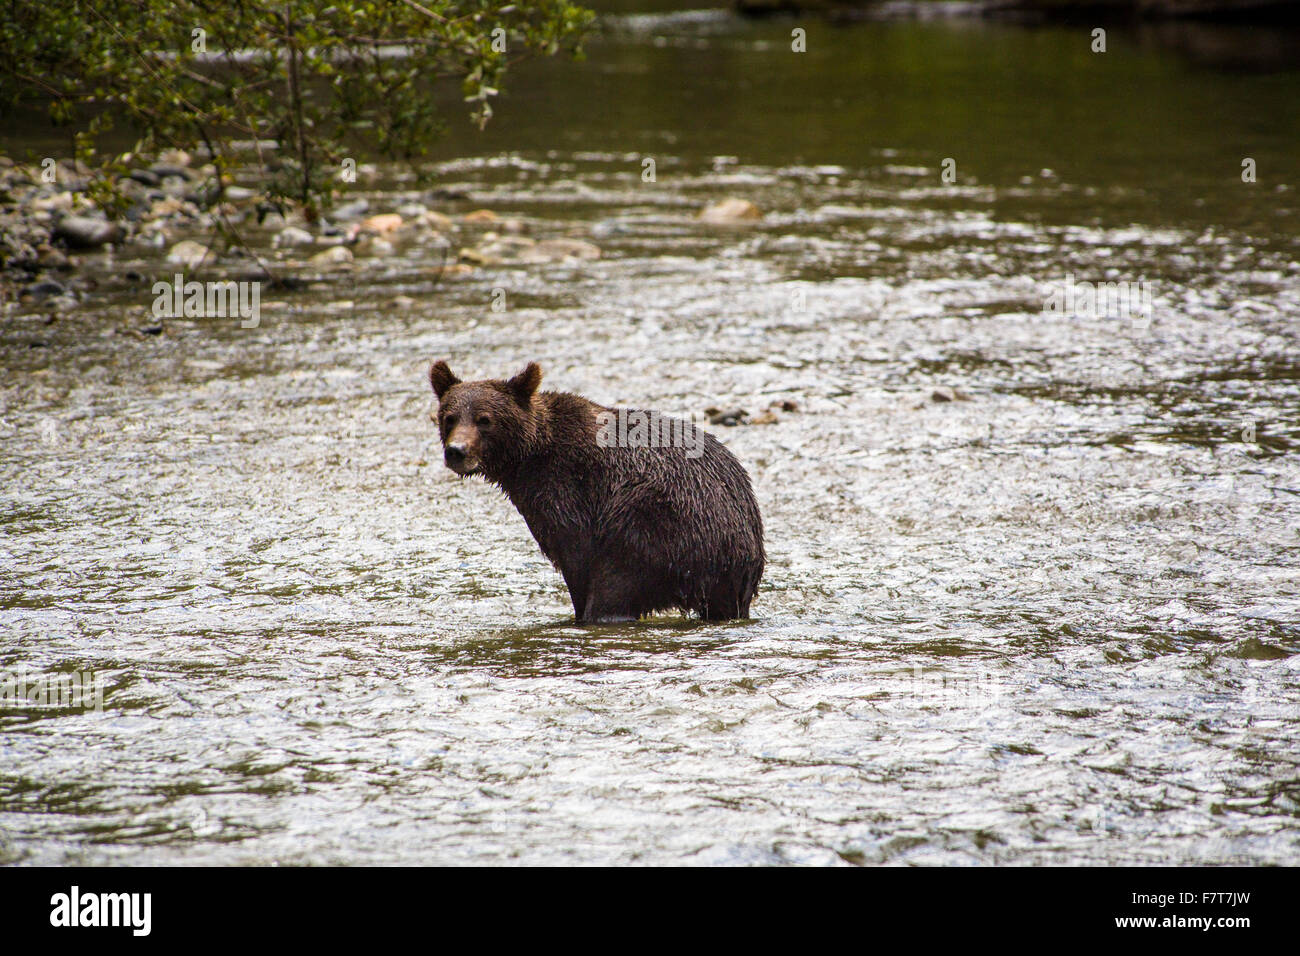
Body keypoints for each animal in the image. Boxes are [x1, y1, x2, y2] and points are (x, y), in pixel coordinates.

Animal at [428, 360, 765, 622]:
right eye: (449, 417)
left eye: (484, 419)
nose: (456, 451)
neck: (529, 458)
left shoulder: (569, 490)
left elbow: (577, 557)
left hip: (657, 526)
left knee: (618, 580)